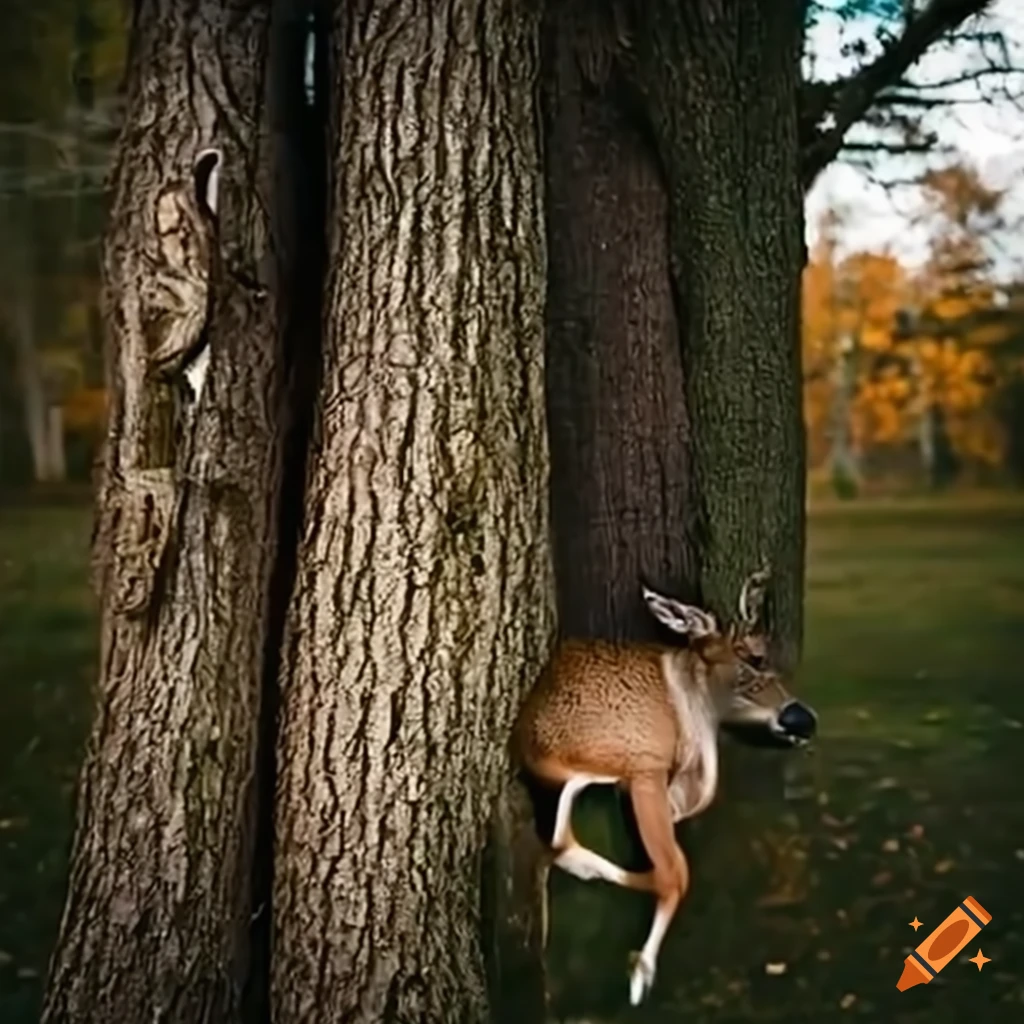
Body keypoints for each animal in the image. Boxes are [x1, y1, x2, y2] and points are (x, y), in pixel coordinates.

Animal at [511, 564, 818, 1006]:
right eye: (753, 656)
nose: (802, 719)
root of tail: (527, 744)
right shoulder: (645, 768)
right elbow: (674, 872)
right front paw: (641, 975)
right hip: (627, 765)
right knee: (654, 867)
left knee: (560, 842)